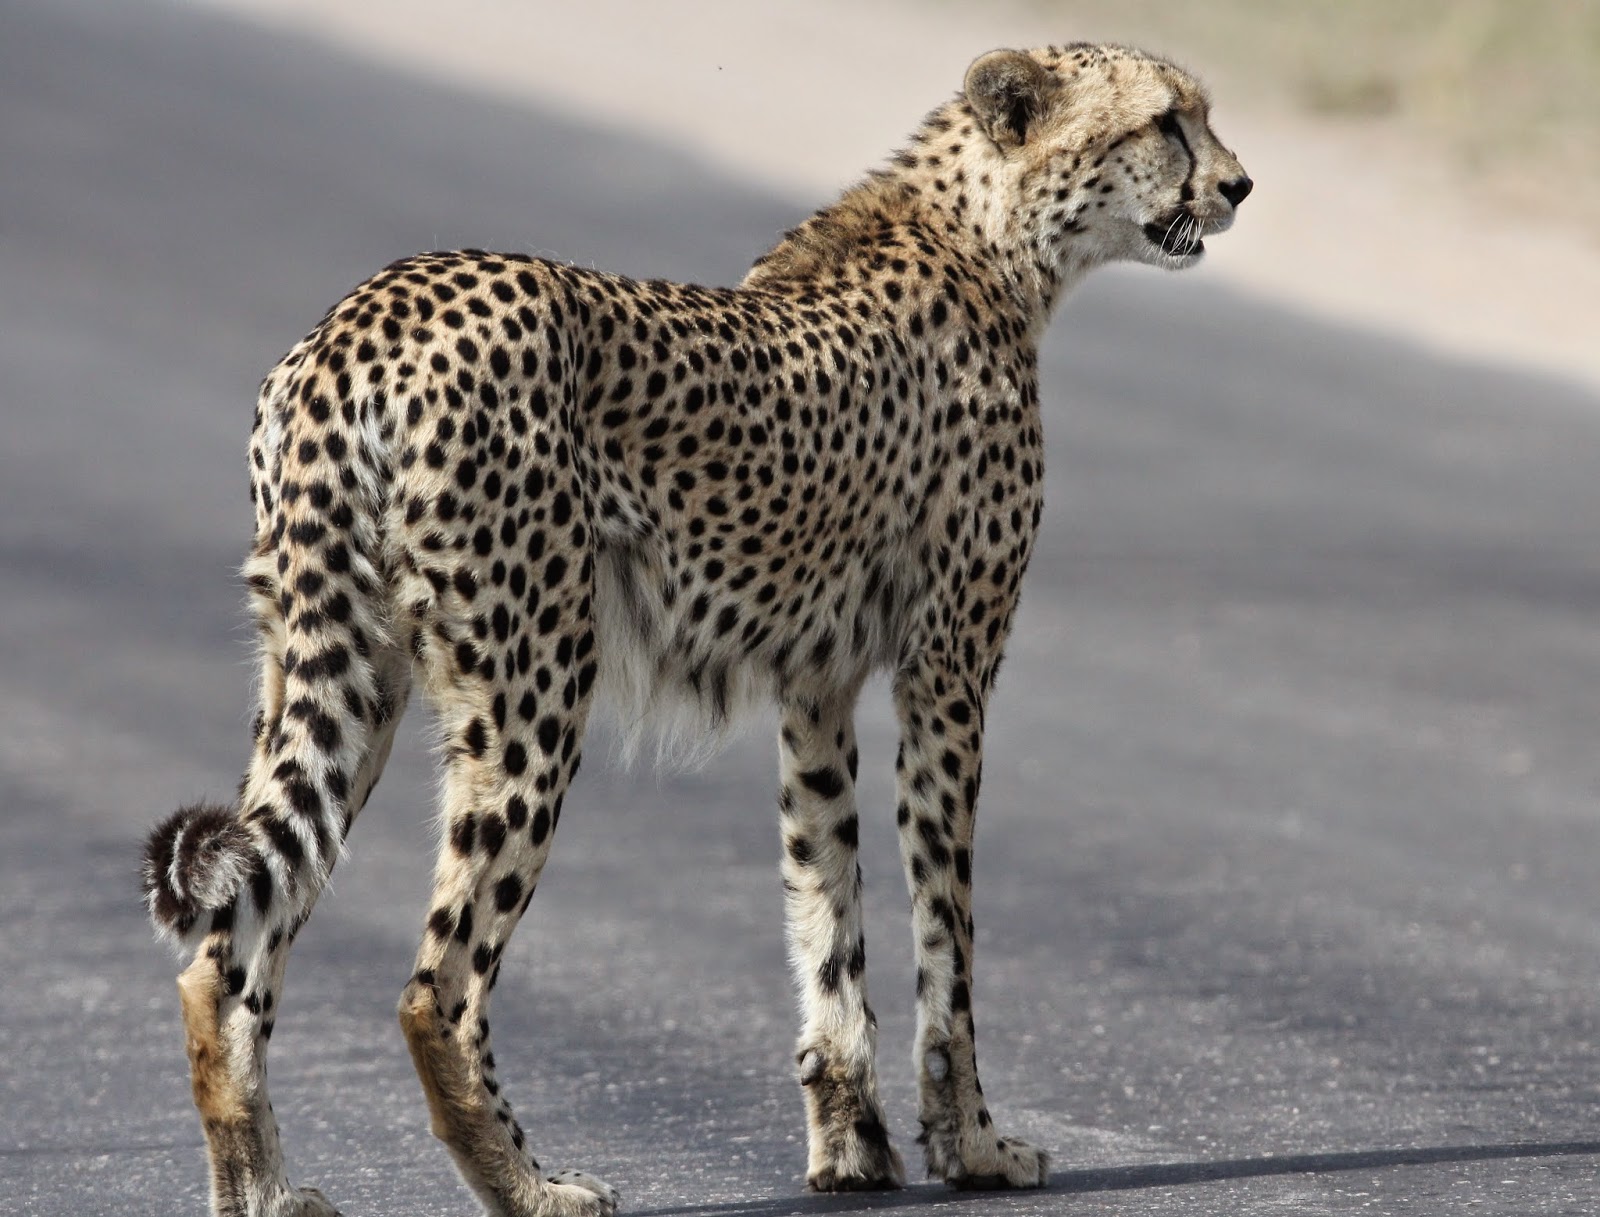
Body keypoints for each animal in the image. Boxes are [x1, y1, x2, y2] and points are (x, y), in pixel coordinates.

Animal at [141, 43, 1249, 1217]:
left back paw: (261, 1191)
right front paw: (975, 1146)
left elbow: (826, 902)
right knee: (432, 987)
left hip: (344, 668)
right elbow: (943, 932)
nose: (1238, 184)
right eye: (1168, 120)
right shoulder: (947, 669)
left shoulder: (815, 684)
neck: (992, 236)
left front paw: (850, 1147)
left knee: (226, 951)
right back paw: (532, 1186)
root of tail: (362, 320)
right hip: (535, 685)